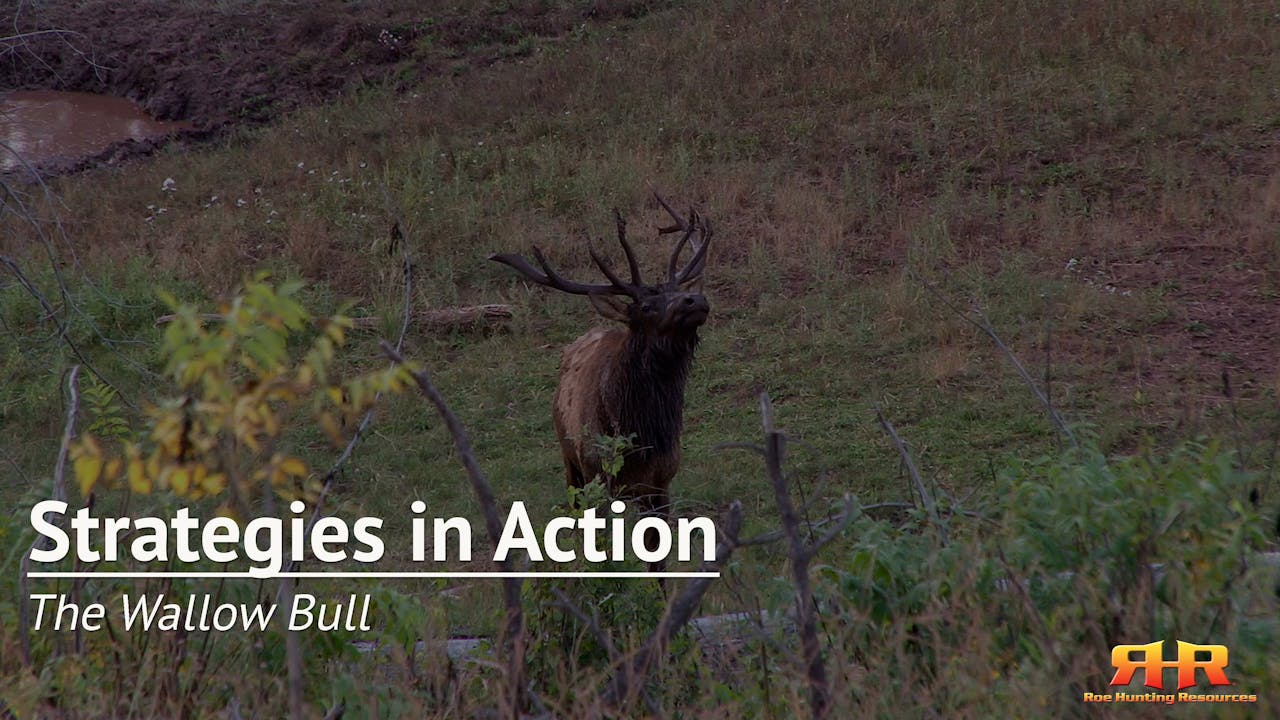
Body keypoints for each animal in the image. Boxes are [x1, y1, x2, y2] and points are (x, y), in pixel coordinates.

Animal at [490, 193, 712, 571]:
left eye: (677, 291)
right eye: (646, 306)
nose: (694, 299)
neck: (641, 433)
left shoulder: (661, 482)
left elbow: (658, 563)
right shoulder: (598, 476)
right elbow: (605, 551)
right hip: (569, 458)